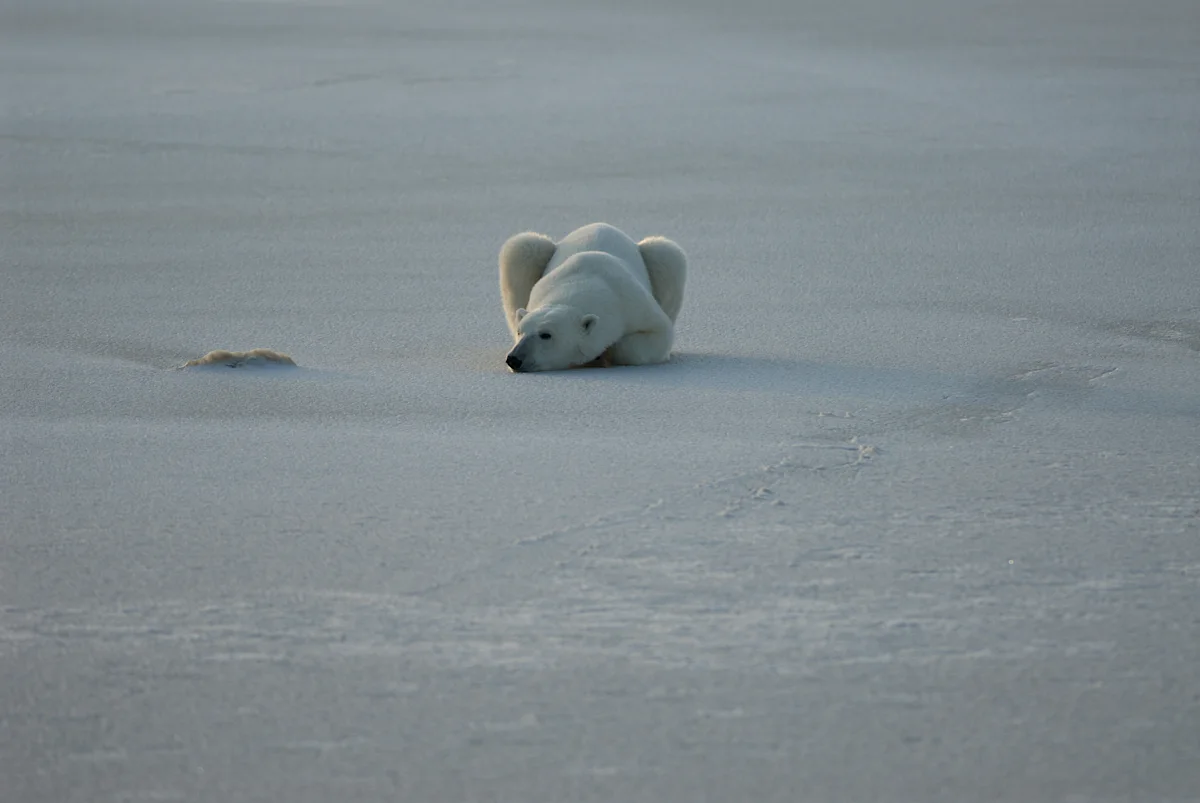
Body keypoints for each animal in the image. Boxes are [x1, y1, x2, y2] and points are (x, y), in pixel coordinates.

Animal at [498, 222, 687, 372]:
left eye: (546, 334)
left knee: (667, 256)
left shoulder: (633, 302)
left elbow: (659, 332)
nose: (514, 359)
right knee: (521, 248)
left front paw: (606, 353)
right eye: (520, 331)